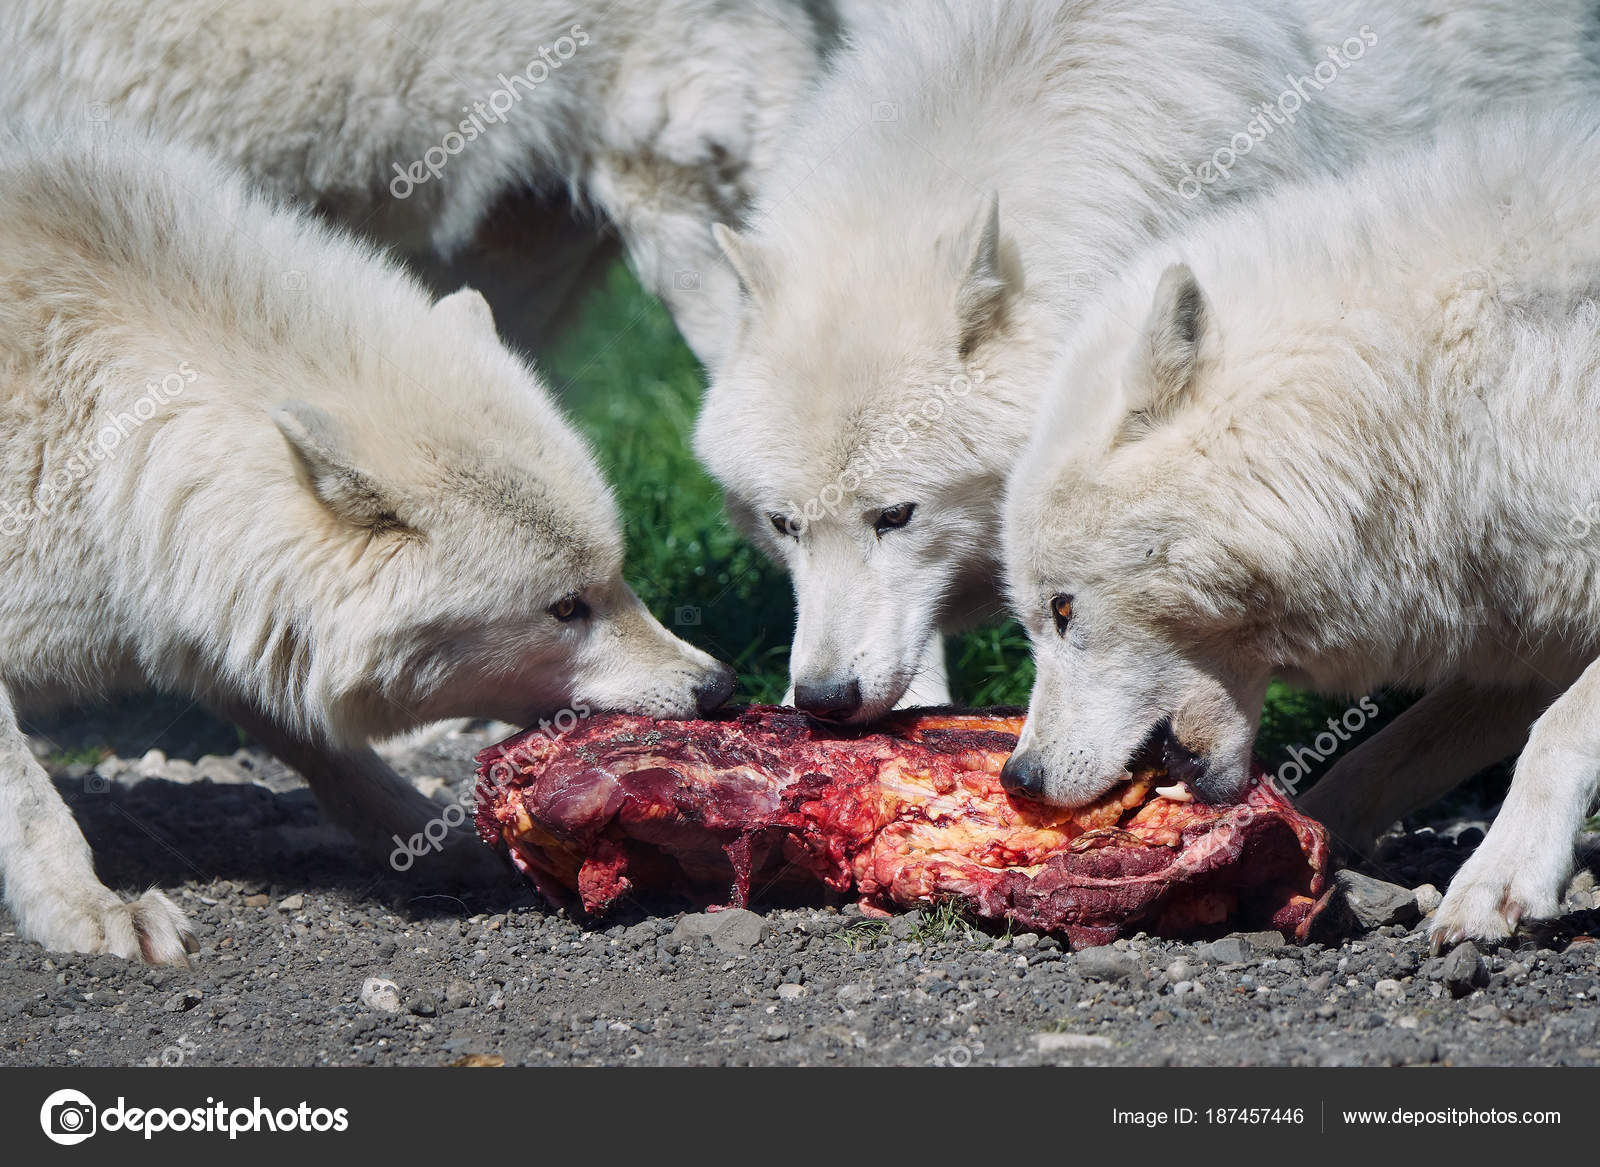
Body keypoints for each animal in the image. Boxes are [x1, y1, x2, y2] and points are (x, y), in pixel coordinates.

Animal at [0, 129, 734, 964]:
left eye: (619, 577)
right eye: (565, 608)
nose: (717, 686)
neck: (104, 451)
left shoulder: (235, 615)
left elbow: (331, 749)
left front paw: (432, 844)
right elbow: (31, 800)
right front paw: (90, 909)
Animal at [1001, 107, 1600, 946]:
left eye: (1062, 608)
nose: (1018, 777)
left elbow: (1558, 731)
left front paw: (1500, 879)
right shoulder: (1530, 632)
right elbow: (1378, 759)